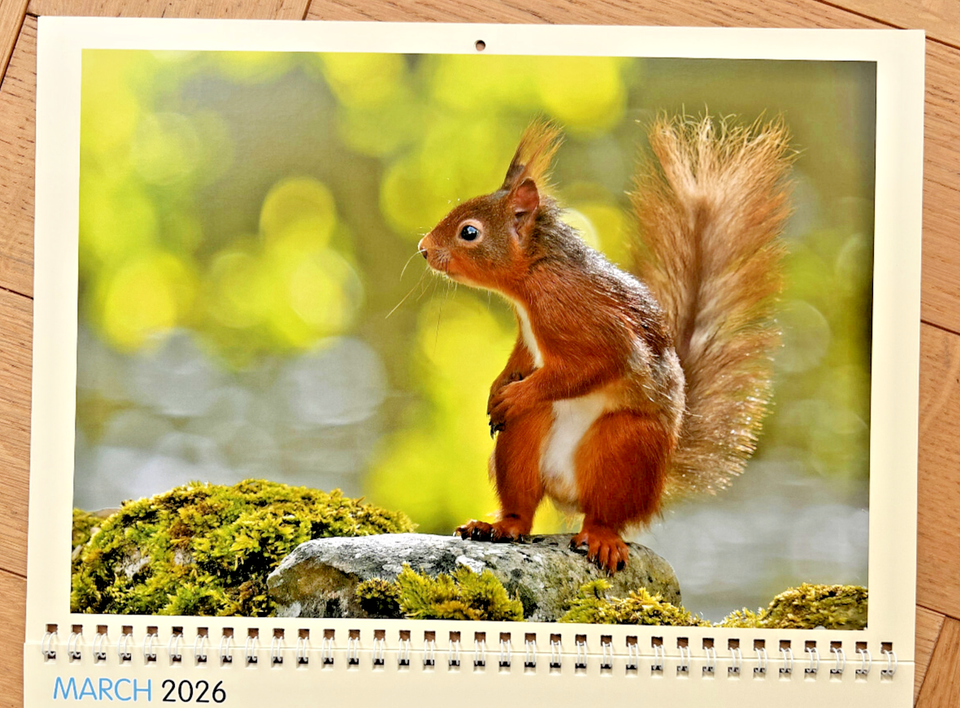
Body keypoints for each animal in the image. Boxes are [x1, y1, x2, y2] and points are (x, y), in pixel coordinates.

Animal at [417, 114, 792, 572]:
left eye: (469, 232)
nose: (423, 249)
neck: (532, 278)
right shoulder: (527, 339)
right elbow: (519, 360)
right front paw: (496, 390)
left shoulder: (587, 320)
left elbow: (596, 364)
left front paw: (516, 394)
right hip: (523, 443)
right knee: (523, 504)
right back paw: (500, 526)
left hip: (626, 450)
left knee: (605, 513)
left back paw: (600, 537)